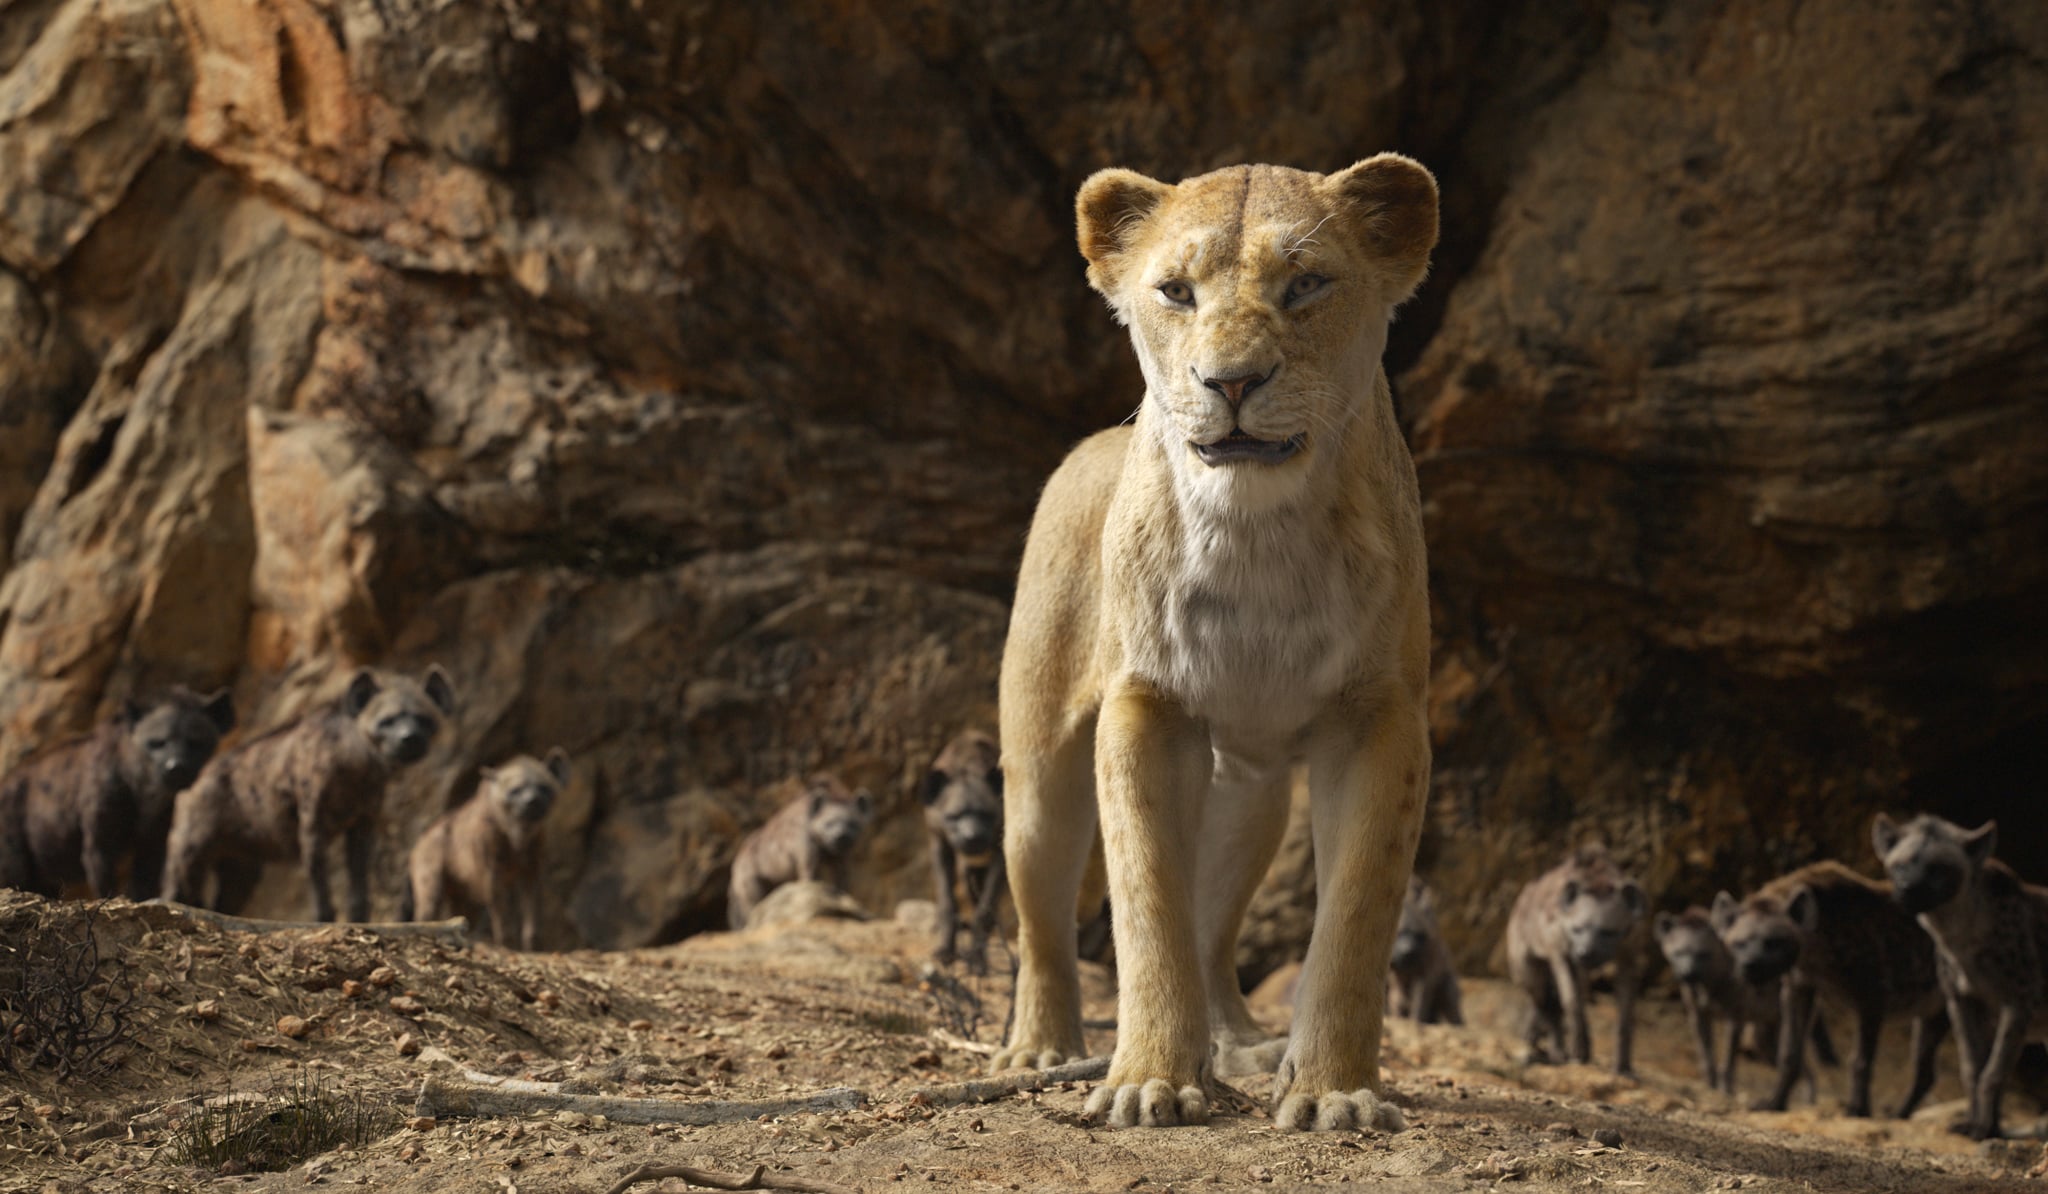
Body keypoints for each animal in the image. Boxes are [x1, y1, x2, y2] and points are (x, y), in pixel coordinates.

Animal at [992, 158, 1439, 1132]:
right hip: (1039, 769)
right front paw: (1149, 1081)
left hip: (1255, 792)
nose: (1231, 382)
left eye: (1306, 285)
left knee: (1214, 925)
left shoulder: (1380, 716)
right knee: (1042, 918)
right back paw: (1041, 1049)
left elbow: (1357, 916)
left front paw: (1334, 1091)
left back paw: (1236, 1044)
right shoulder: (1148, 707)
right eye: (1175, 291)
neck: (1255, 530)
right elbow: (1145, 903)